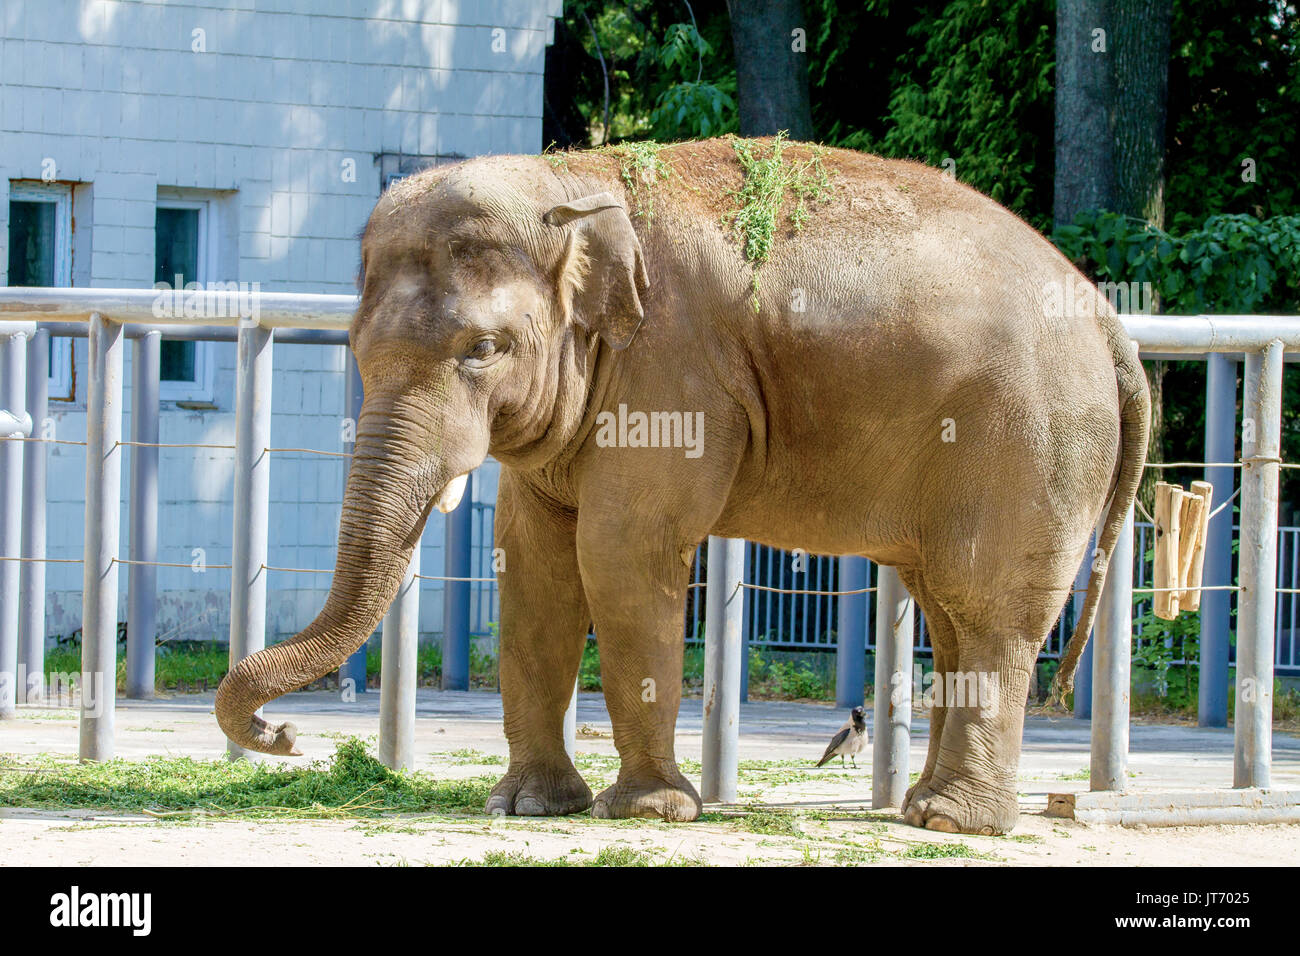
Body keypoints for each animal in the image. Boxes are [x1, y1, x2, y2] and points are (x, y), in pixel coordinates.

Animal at [215, 137, 1149, 835]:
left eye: (481, 350)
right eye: (355, 348)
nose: (285, 732)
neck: (572, 183)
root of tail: (1112, 326)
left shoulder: (671, 370)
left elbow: (619, 552)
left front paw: (647, 813)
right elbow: (536, 566)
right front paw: (527, 808)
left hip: (1030, 439)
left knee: (988, 608)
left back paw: (953, 824)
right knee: (950, 613)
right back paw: (923, 809)